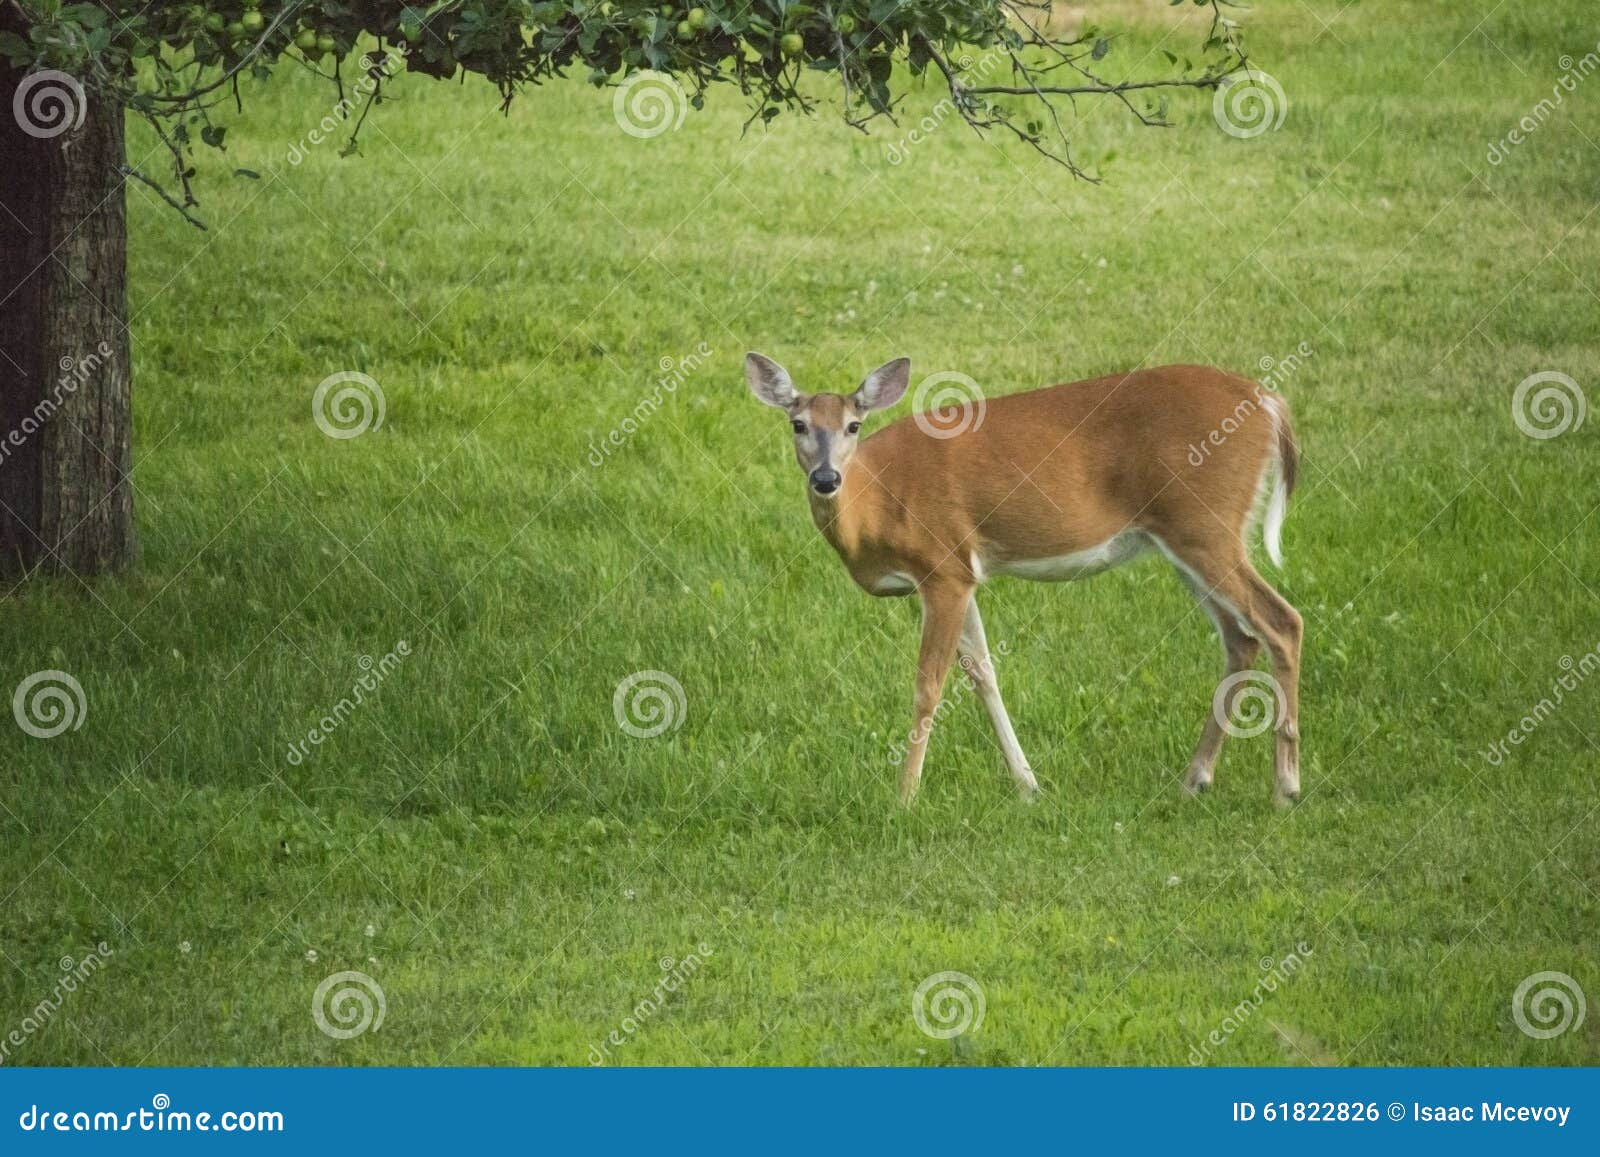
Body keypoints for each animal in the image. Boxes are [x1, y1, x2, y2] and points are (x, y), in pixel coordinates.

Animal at [744, 353, 1302, 807]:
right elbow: (983, 673)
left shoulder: (941, 567)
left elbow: (929, 684)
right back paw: (1196, 780)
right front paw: (1029, 786)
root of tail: (1271, 403)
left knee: (1282, 621)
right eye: (797, 424)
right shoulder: (964, 572)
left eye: (854, 425)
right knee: (1242, 638)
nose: (825, 479)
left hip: (1205, 524)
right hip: (1187, 539)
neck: (875, 502)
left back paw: (1286, 788)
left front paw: (905, 797)